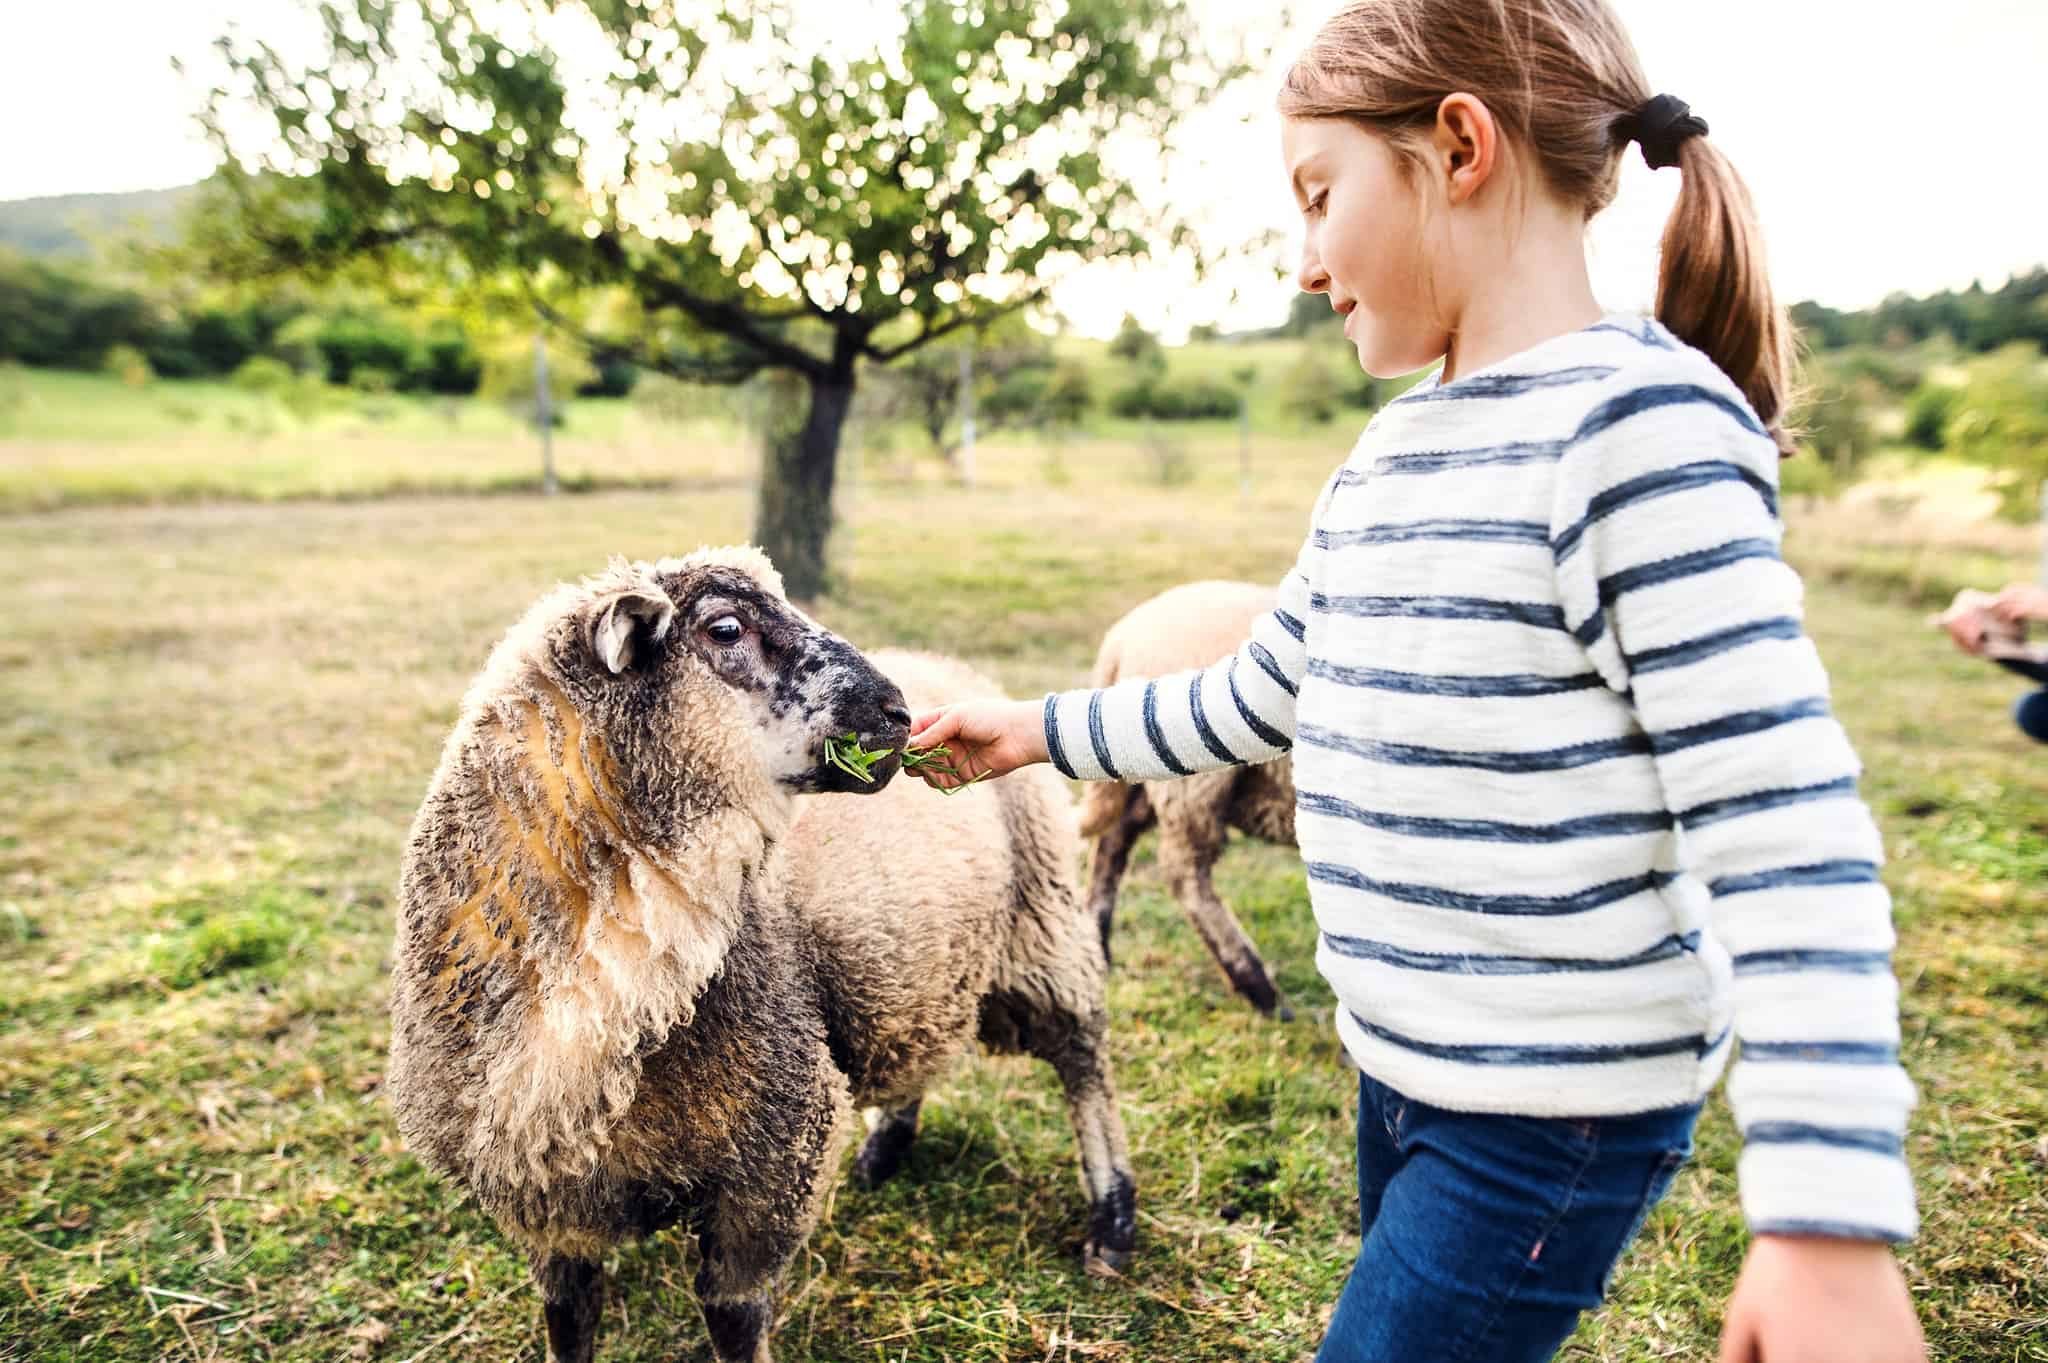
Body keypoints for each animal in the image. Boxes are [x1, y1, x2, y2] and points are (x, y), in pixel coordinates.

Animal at [386, 546, 1135, 1363]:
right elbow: (569, 1319)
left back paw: (1112, 1222)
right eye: (725, 629)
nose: (899, 714)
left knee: (1084, 1063)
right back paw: (885, 1149)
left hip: (1043, 926)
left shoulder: (773, 1156)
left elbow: (733, 1315)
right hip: (918, 963)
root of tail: (945, 662)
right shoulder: (545, 1197)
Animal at [1078, 580, 1298, 1019]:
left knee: (1114, 842)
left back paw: (1101, 948)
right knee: (1184, 872)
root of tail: (1121, 637)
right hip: (1194, 784)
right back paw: (1260, 989)